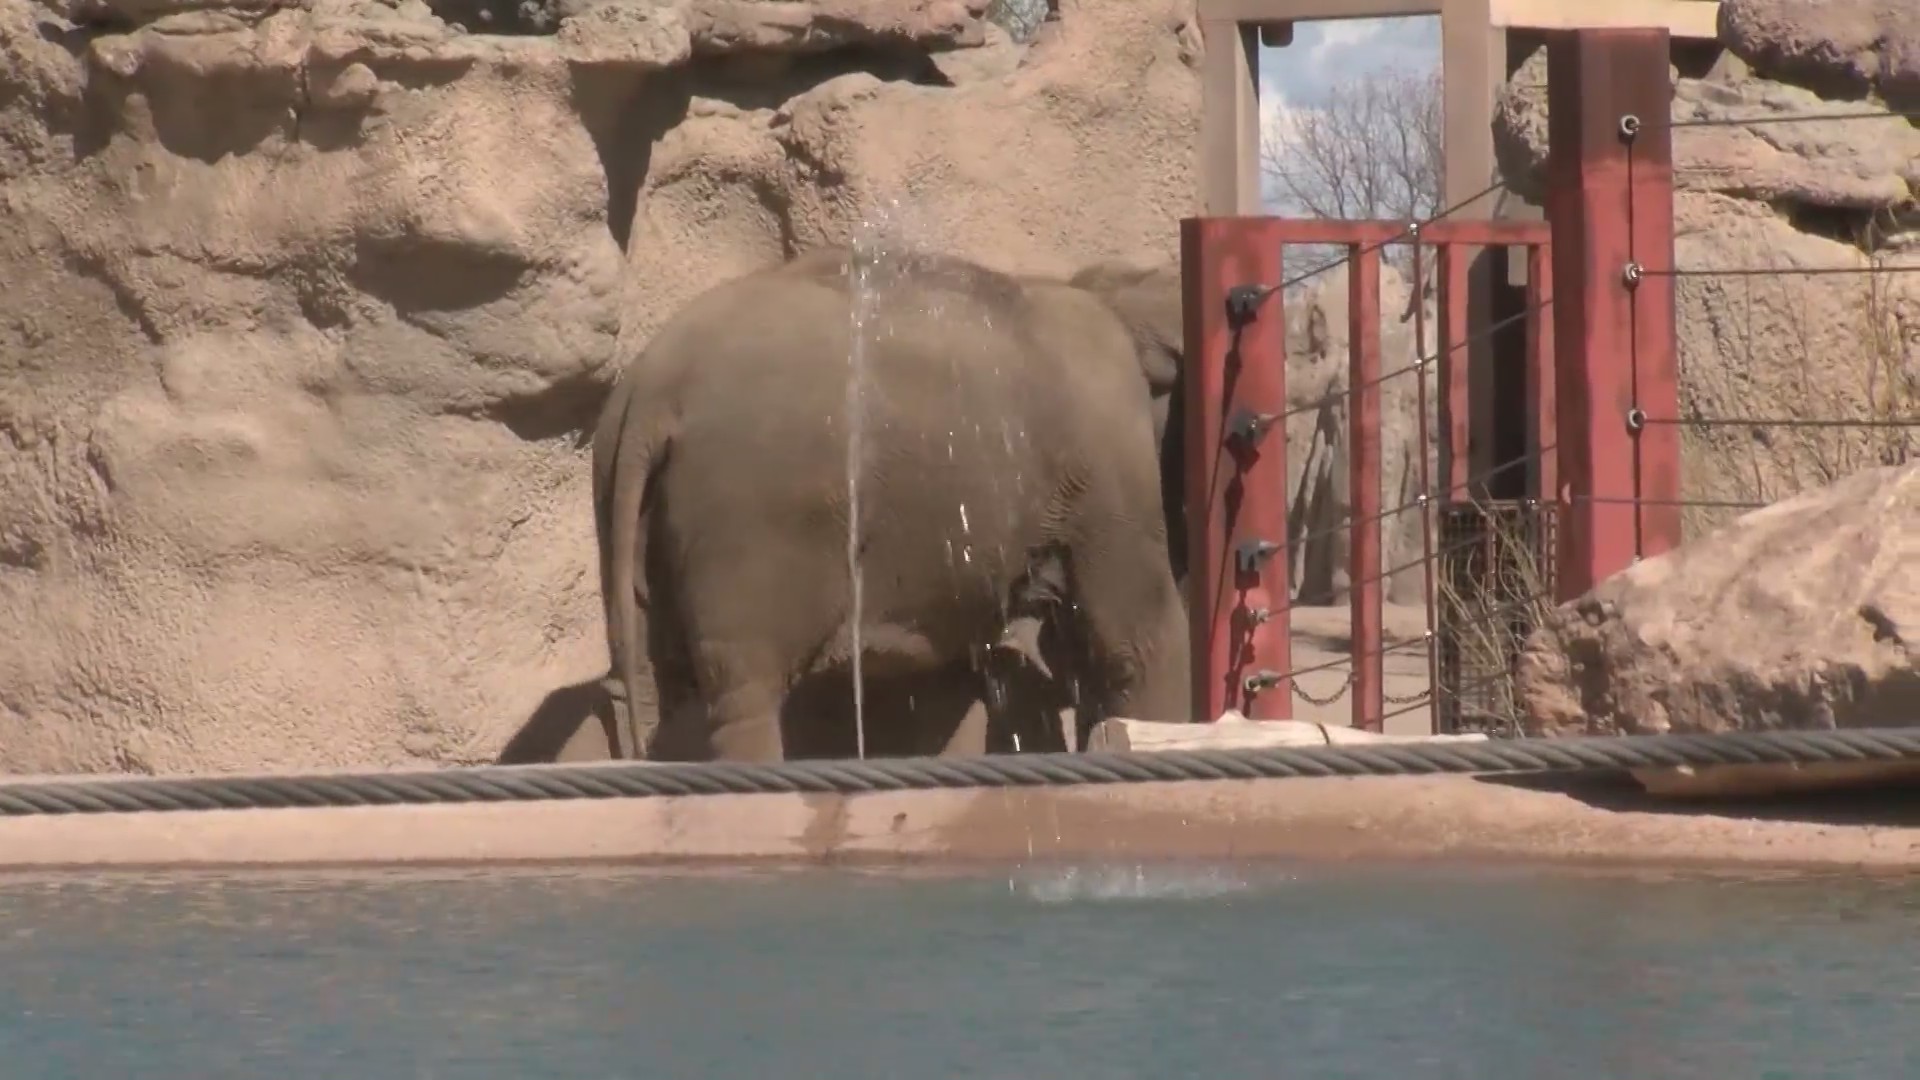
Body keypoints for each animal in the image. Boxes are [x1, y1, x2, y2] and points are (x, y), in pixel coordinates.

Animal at [589, 245, 1188, 763]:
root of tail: (649, 393)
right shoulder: (1108, 453)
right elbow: (1138, 642)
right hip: (744, 521)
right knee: (741, 692)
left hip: (633, 514)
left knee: (653, 687)